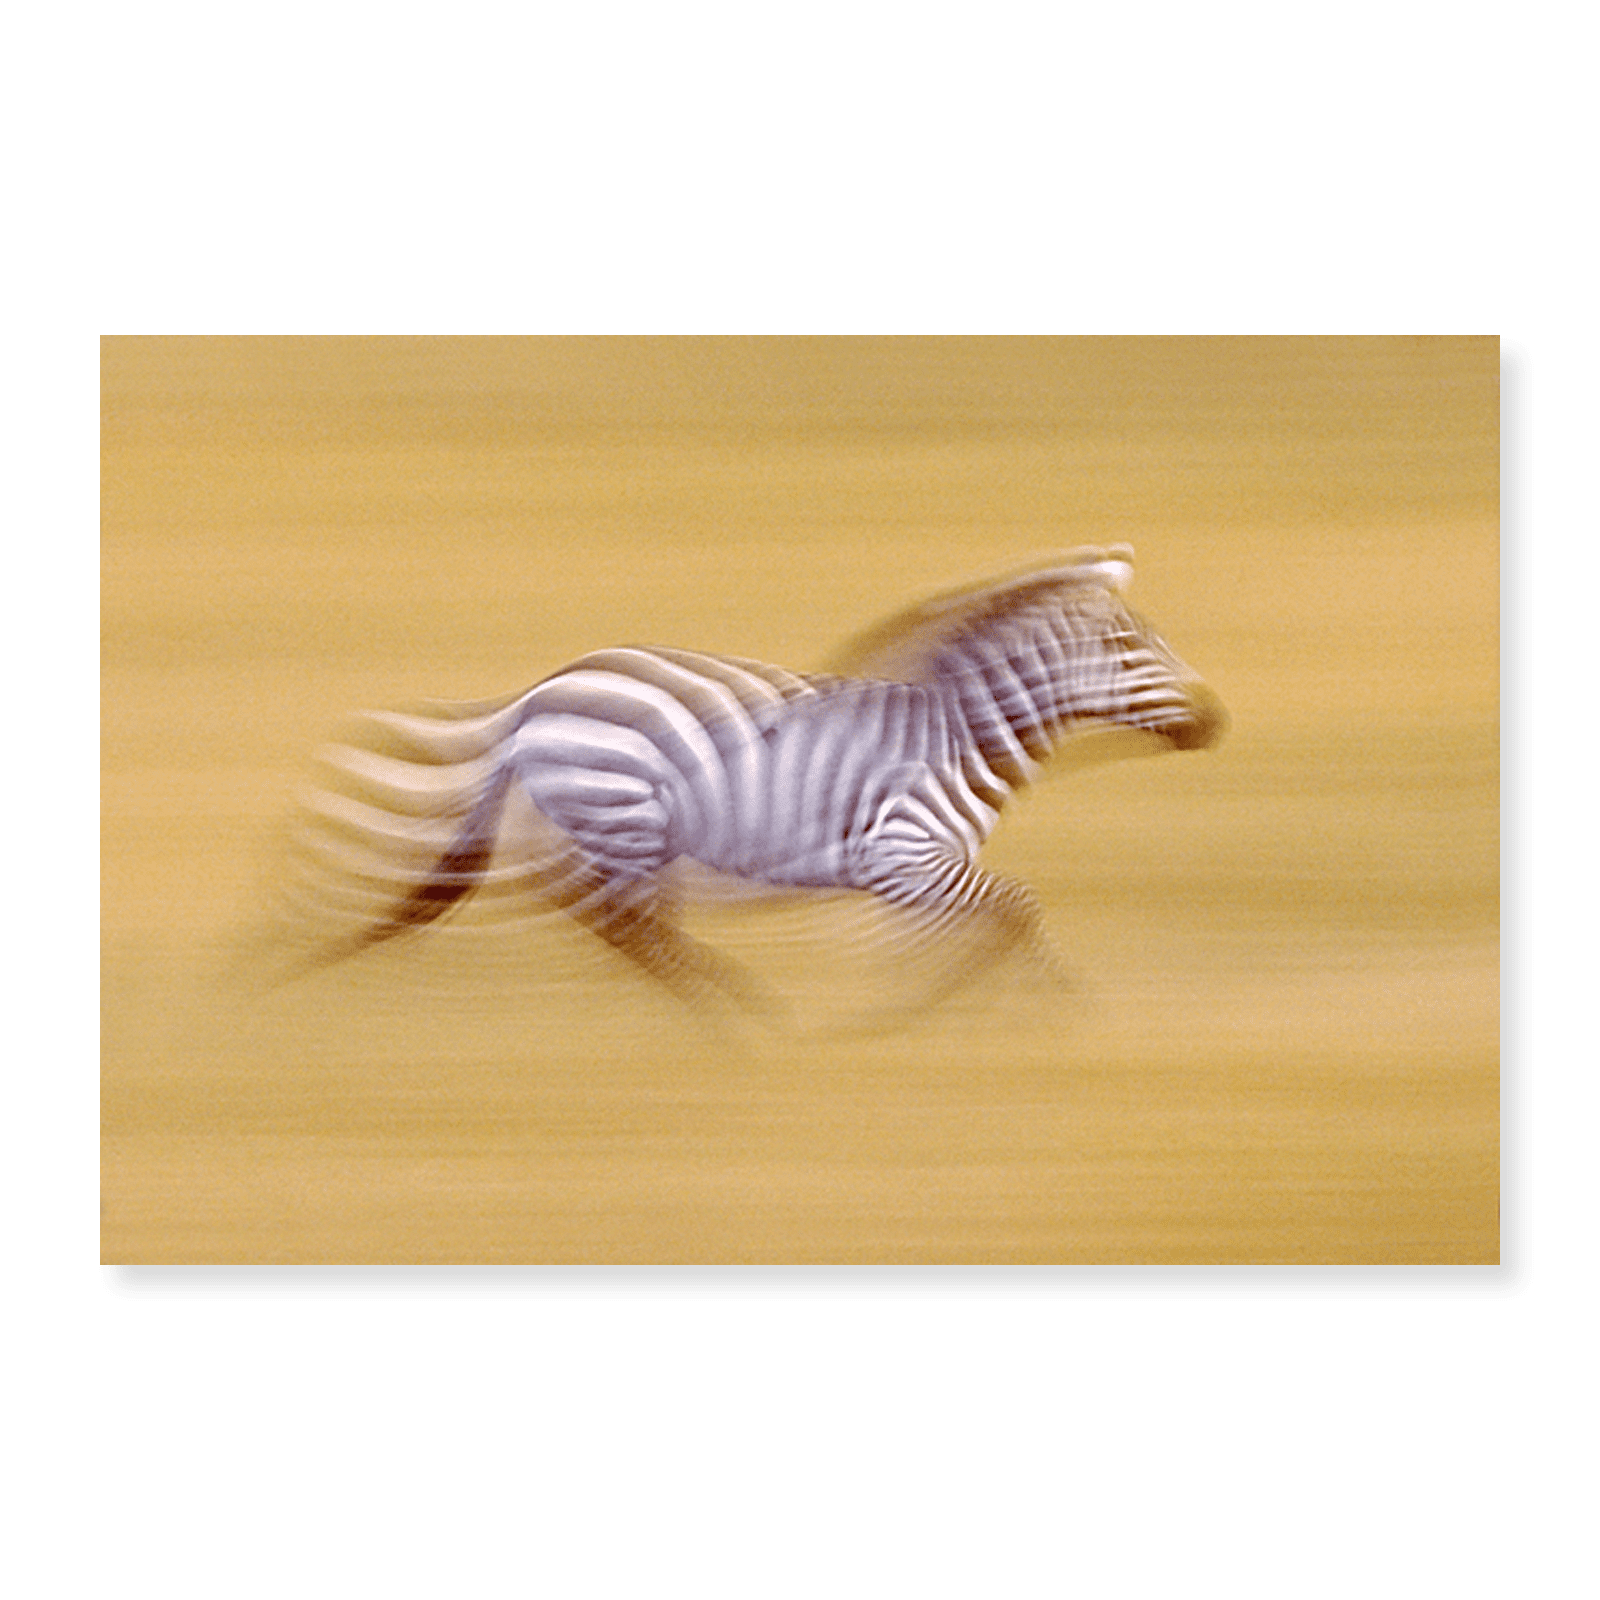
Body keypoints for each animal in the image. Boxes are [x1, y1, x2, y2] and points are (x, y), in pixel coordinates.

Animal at [278, 546, 1225, 1015]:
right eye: (1131, 648)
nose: (1215, 722)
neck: (962, 740)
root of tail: (540, 695)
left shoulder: (910, 882)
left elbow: (970, 932)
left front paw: (955, 1012)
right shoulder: (904, 858)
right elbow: (1019, 911)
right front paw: (1028, 1012)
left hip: (612, 820)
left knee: (601, 910)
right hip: (625, 810)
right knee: (610, 914)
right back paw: (732, 1013)